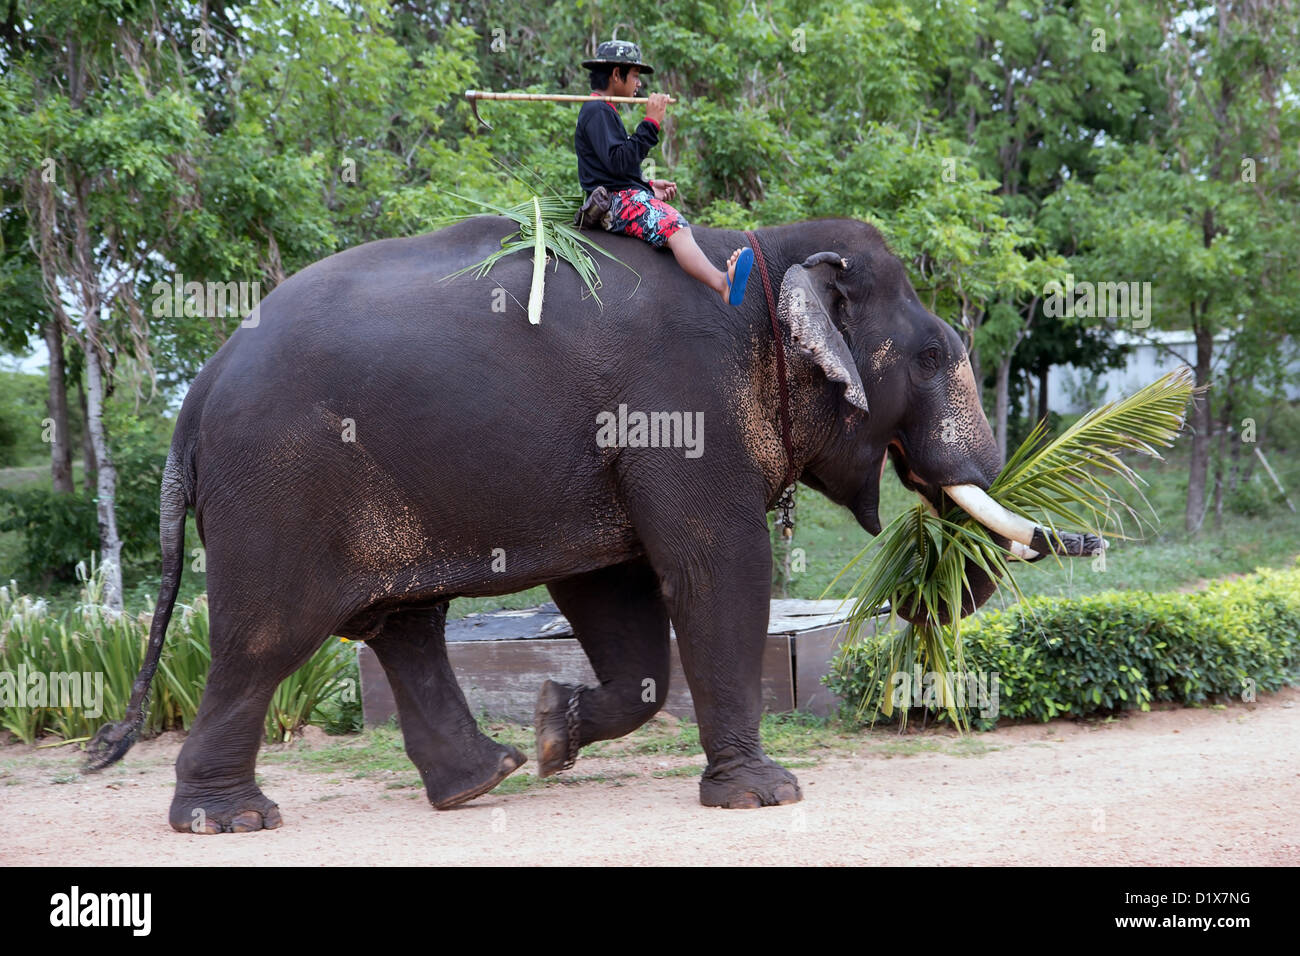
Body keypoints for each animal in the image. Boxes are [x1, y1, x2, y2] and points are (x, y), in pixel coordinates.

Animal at [87, 215, 1098, 831]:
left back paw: (486, 777)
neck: (765, 252)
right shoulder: (678, 411)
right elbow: (716, 568)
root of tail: (194, 397)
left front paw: (552, 731)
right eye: (929, 355)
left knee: (403, 624)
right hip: (279, 492)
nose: (926, 593)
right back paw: (232, 819)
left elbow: (613, 596)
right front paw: (765, 797)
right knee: (268, 635)